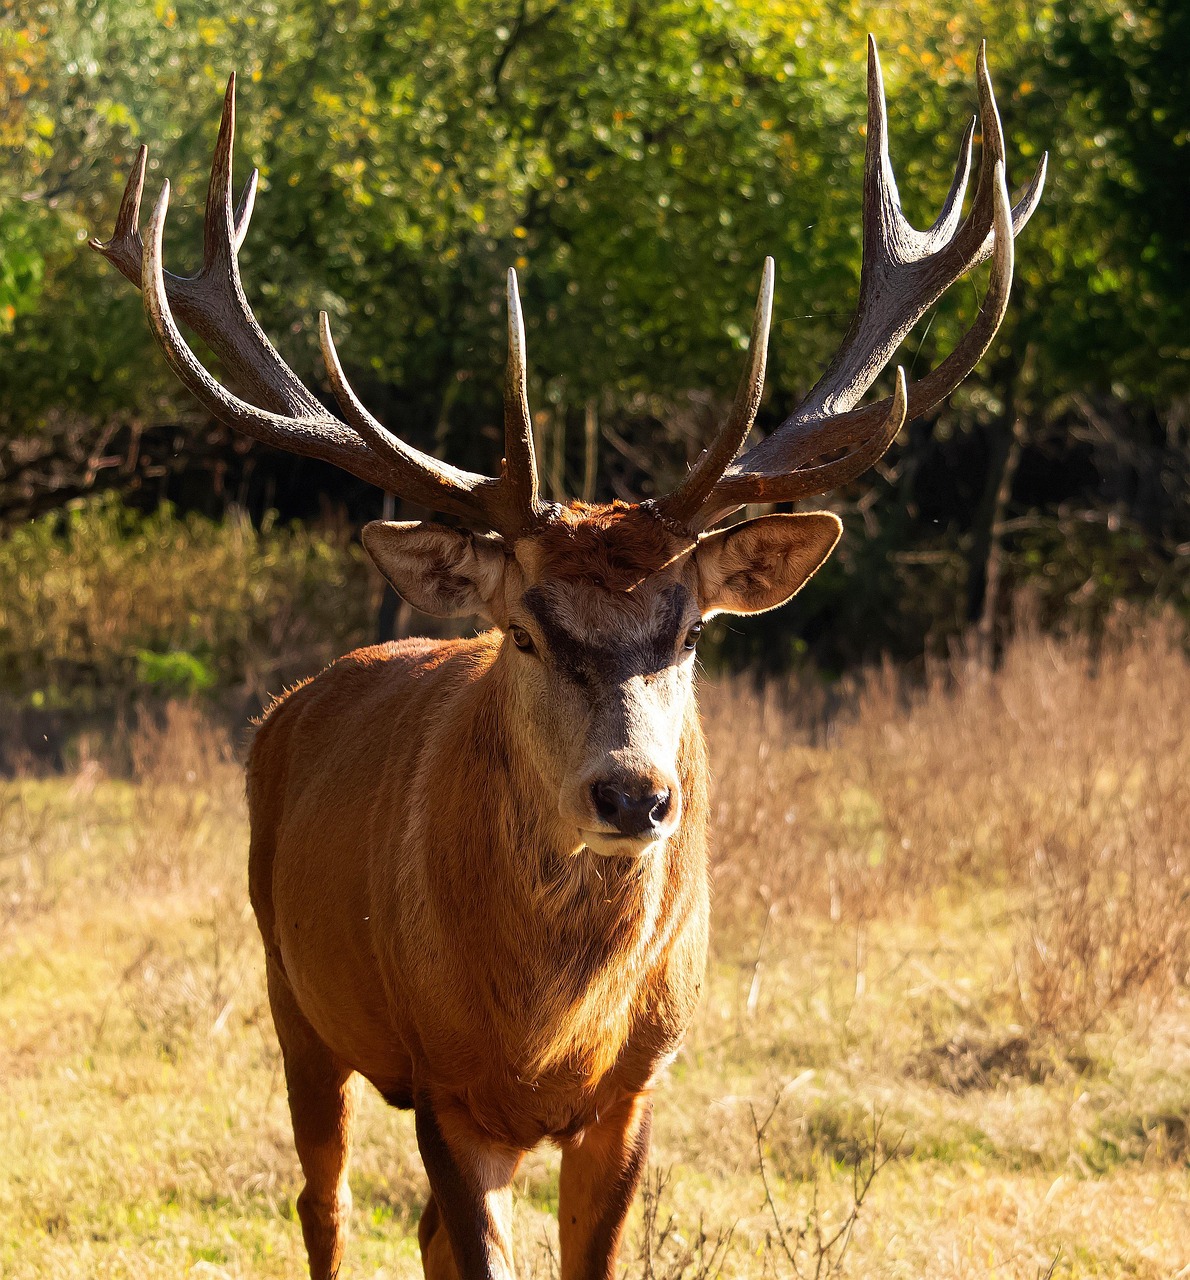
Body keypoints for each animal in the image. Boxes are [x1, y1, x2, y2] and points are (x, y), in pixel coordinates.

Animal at [92, 39, 1044, 1280]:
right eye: (527, 628)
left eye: (691, 629)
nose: (633, 794)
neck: (545, 1034)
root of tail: (293, 704)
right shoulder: (442, 1081)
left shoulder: (635, 1088)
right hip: (290, 988)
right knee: (324, 1203)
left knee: (414, 1228)